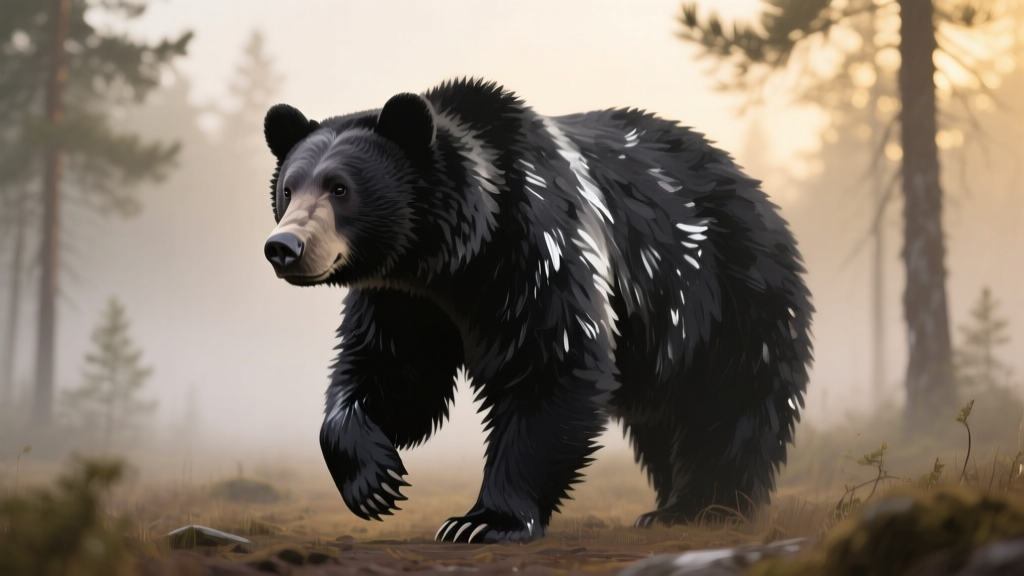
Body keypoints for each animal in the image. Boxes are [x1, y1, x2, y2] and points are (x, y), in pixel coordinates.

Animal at [261, 78, 813, 544]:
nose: (283, 247)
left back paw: (703, 507)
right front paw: (374, 479)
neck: (456, 254)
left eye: (340, 188)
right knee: (663, 420)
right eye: (288, 188)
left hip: (727, 293)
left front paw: (482, 521)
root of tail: (753, 186)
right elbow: (393, 372)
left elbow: (551, 366)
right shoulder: (405, 297)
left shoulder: (540, 248)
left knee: (728, 404)